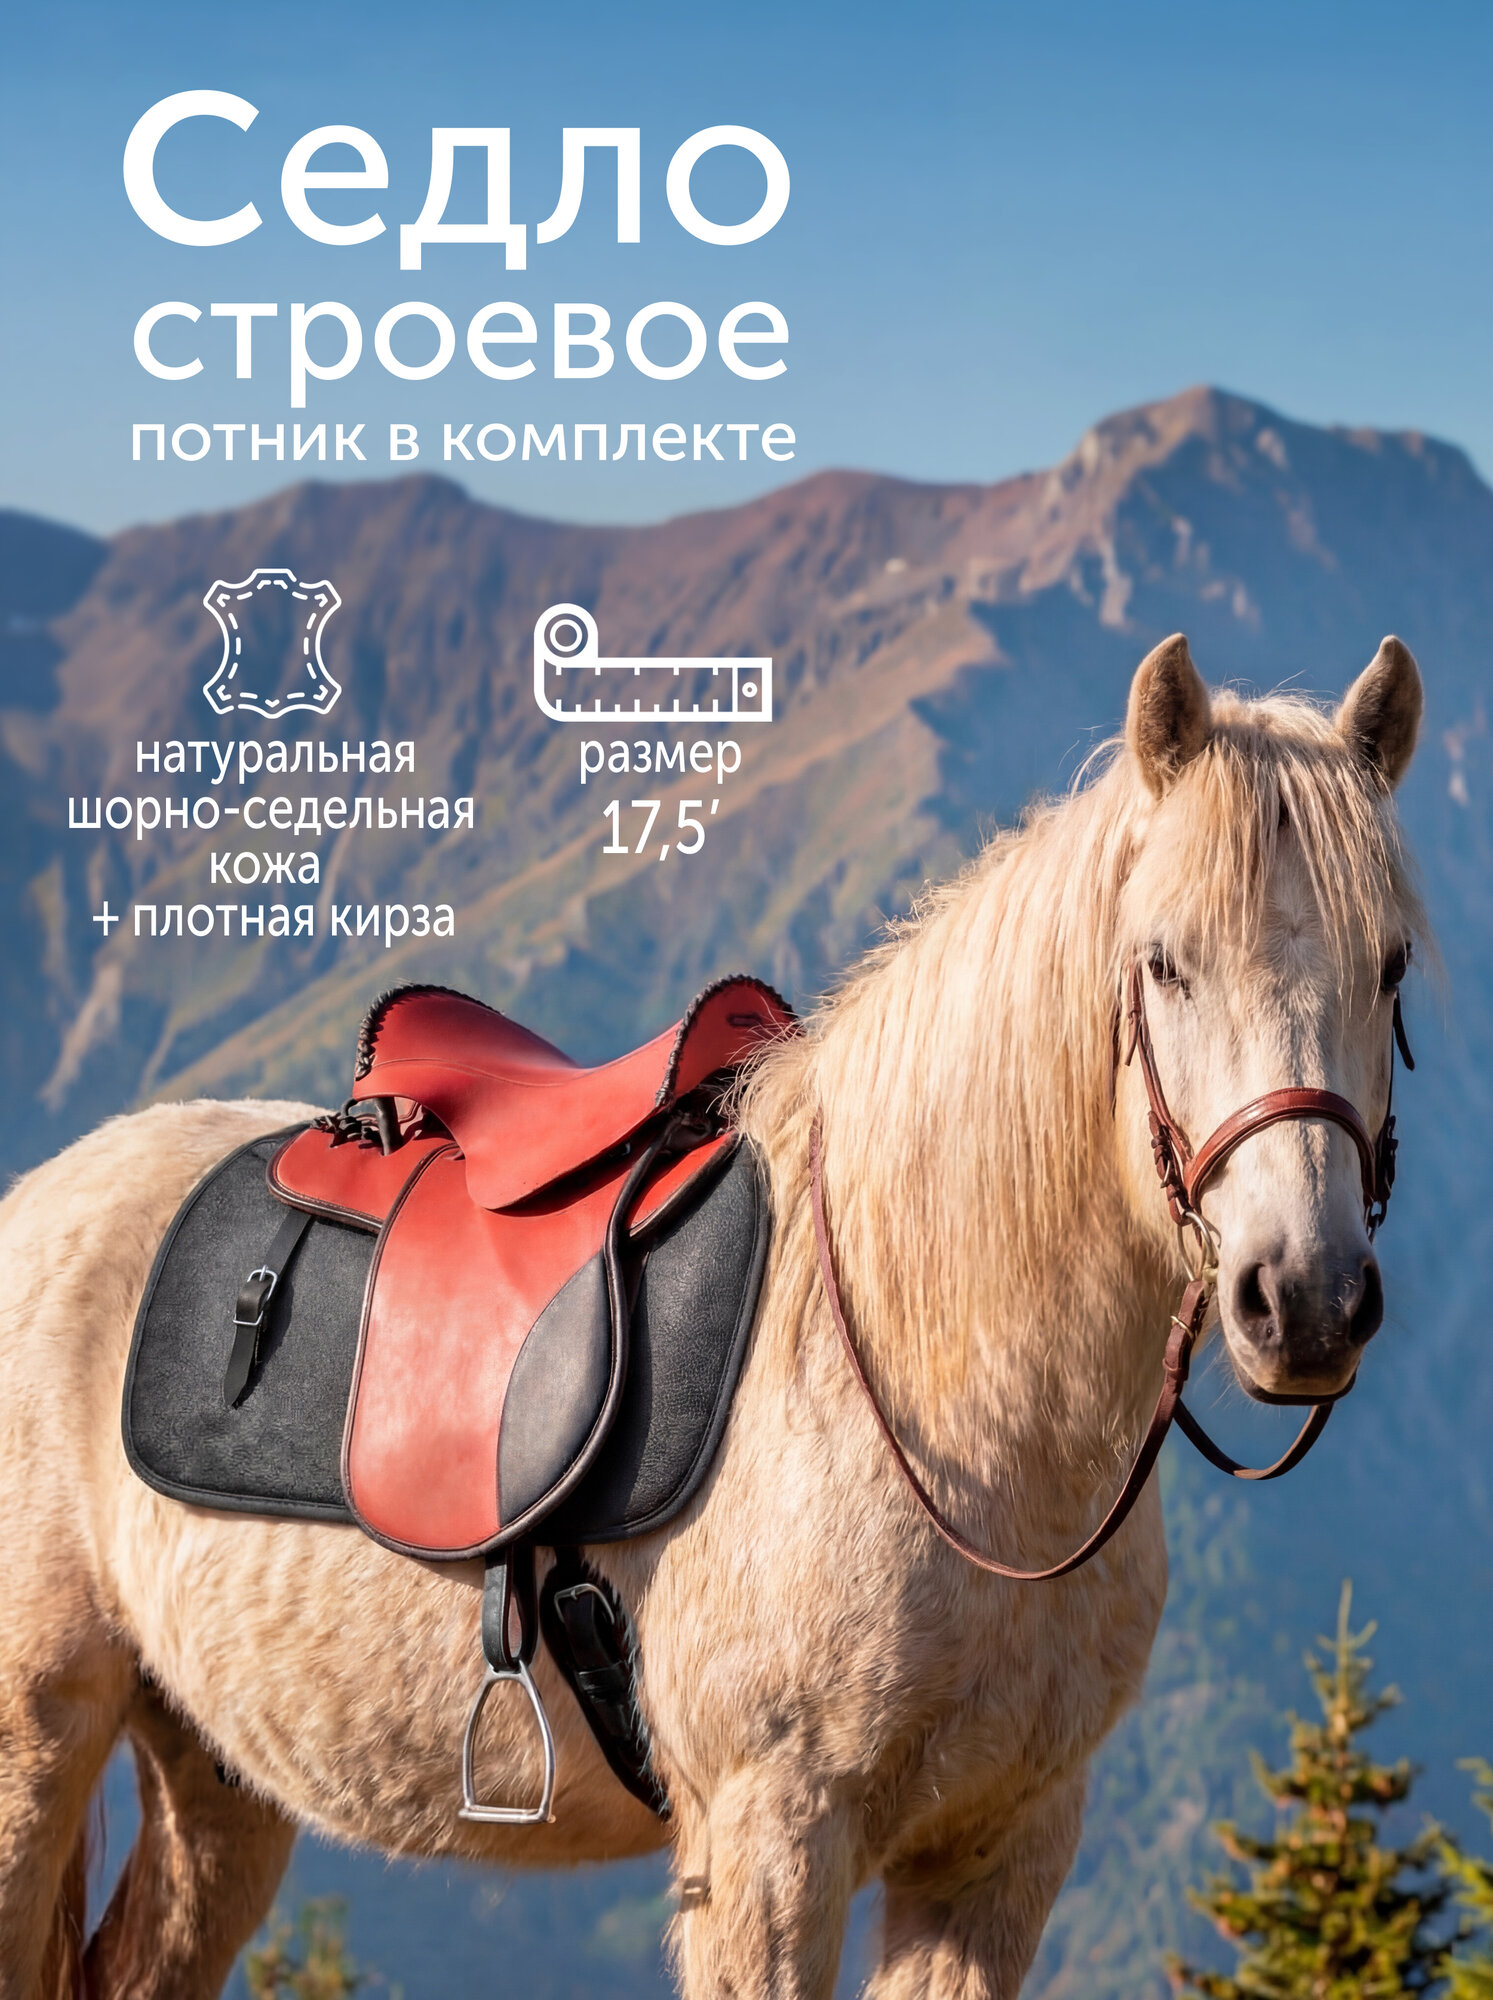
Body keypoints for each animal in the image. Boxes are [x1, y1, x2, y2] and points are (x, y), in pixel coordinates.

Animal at [0, 632, 1425, 2000]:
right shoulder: (770, 1842)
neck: (940, 1396)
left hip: (215, 1777)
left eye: (1391, 963)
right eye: (1163, 961)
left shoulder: (1001, 1847)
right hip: (36, 1746)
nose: (1304, 1297)